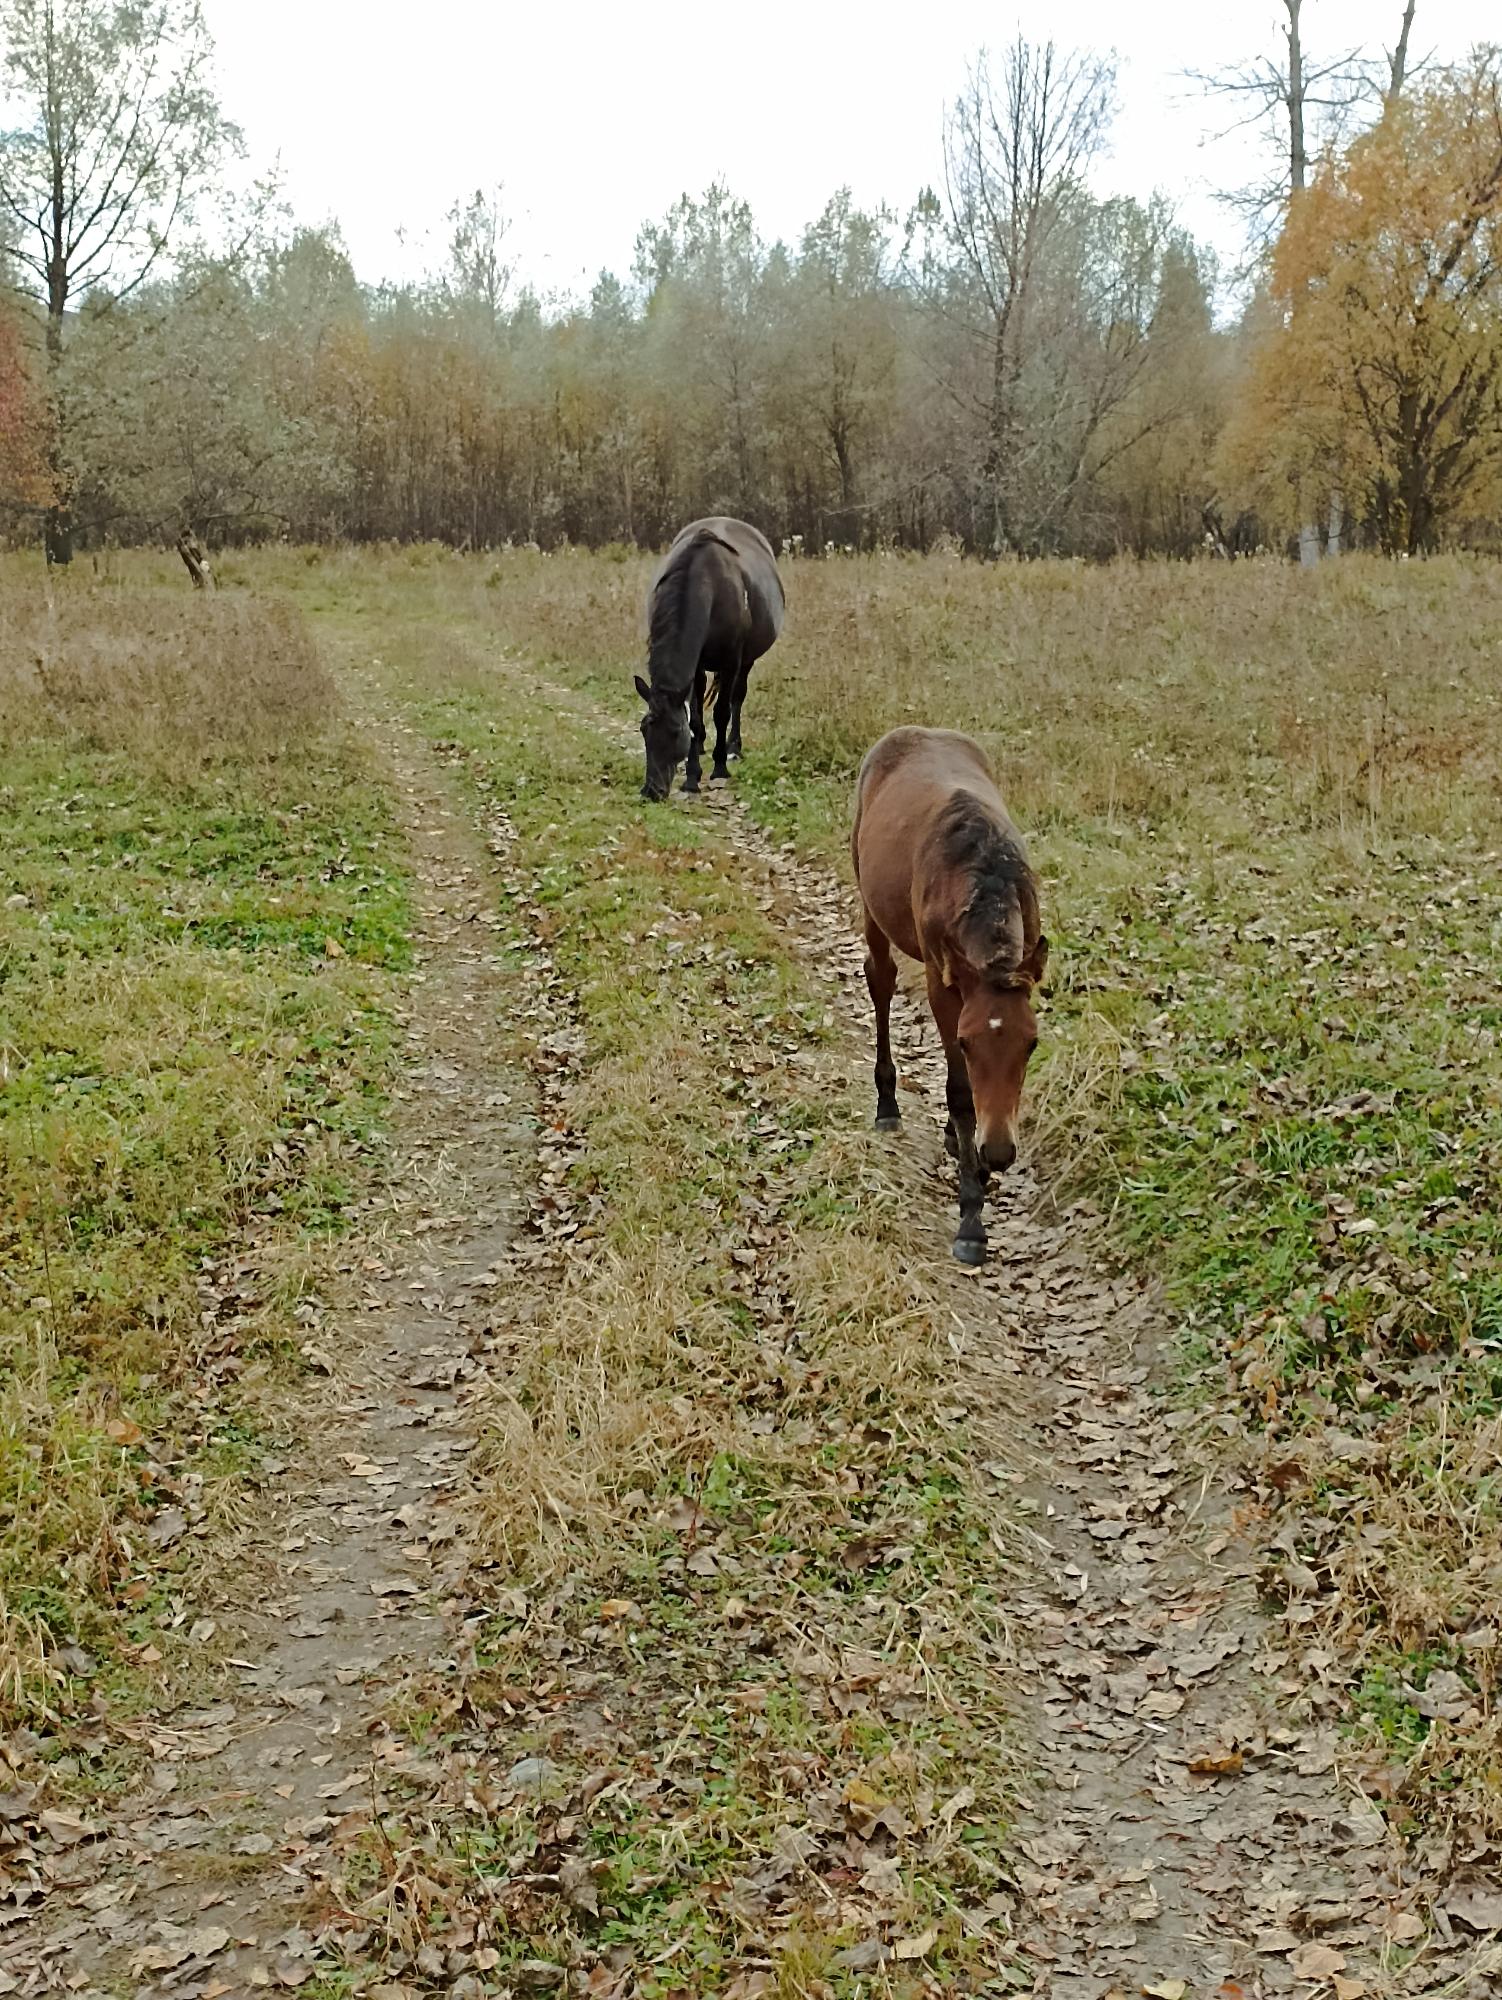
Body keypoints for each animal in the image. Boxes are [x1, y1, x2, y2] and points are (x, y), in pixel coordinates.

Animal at [636, 516, 788, 796]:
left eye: (674, 732)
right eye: (643, 730)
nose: (652, 790)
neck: (709, 586)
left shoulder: (731, 662)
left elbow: (721, 712)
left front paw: (719, 767)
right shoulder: (696, 666)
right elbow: (695, 719)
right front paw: (692, 775)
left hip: (745, 662)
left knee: (737, 698)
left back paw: (733, 747)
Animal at [852, 732, 1048, 1264]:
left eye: (1031, 1044)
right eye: (966, 1043)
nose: (999, 1152)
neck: (981, 871)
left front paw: (970, 1156)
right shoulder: (944, 987)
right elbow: (960, 1091)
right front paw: (972, 1220)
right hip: (872, 906)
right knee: (881, 980)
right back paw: (888, 1106)